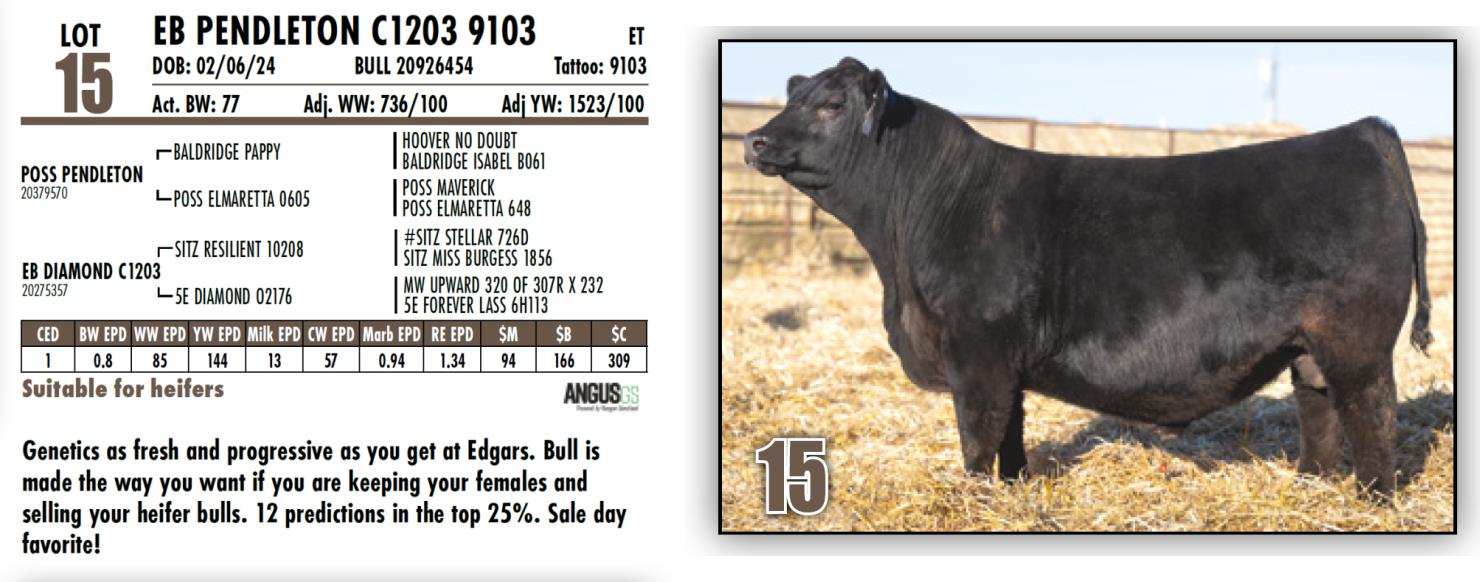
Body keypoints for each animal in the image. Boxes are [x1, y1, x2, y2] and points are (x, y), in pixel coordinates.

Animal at [743, 57, 1432, 498]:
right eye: (790, 99)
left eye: (833, 105)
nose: (754, 141)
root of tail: (1364, 132)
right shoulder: (1005, 360)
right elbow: (1011, 432)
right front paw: (1013, 491)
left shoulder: (978, 351)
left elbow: (978, 432)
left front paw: (976, 498)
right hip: (1306, 344)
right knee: (1319, 409)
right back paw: (1313, 484)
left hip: (1357, 340)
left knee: (1371, 412)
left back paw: (1372, 500)